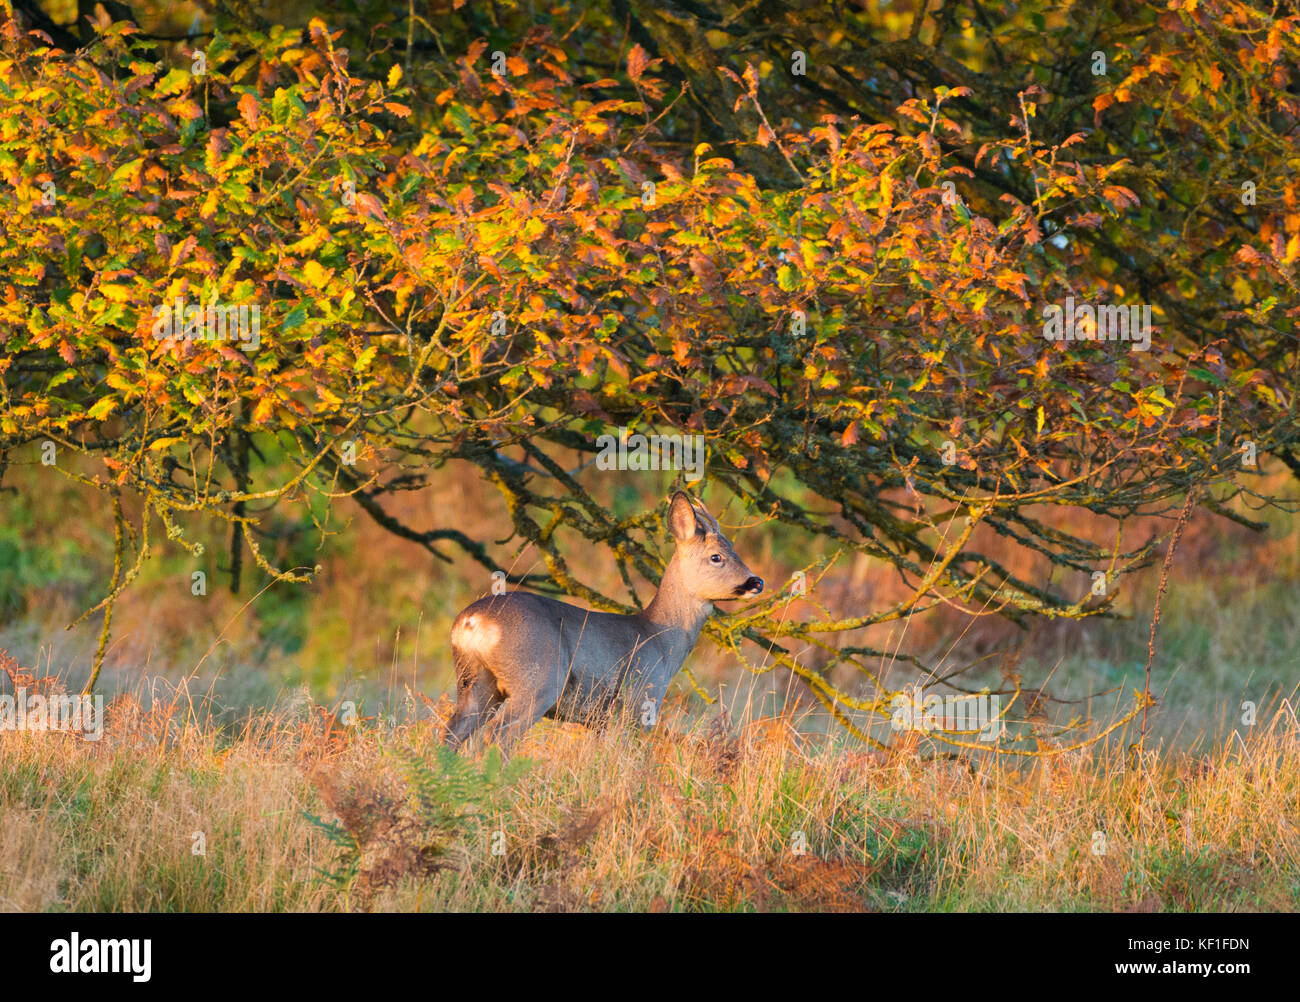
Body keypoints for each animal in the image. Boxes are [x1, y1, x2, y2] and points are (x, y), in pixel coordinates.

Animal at [443, 492, 764, 752]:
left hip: (476, 683)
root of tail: (470, 622)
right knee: (498, 736)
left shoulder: (598, 720)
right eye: (716, 557)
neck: (660, 638)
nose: (756, 582)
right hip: (537, 680)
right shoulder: (638, 701)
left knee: (451, 733)